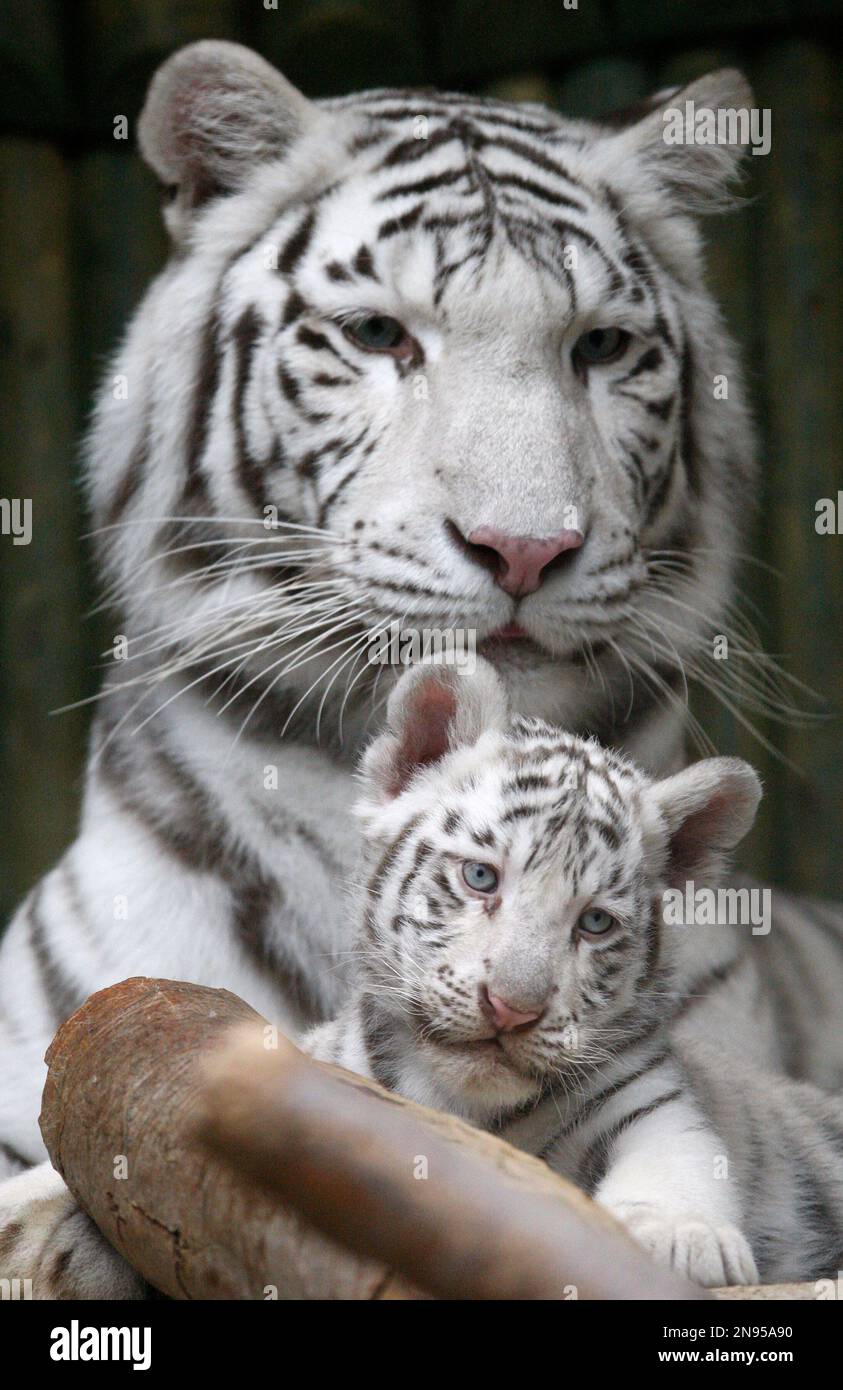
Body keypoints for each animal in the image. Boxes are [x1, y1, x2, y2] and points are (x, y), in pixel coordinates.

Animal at [305, 658, 843, 1288]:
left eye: (595, 922)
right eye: (481, 877)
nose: (510, 1009)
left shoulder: (651, 1101)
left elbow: (675, 1163)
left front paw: (684, 1240)